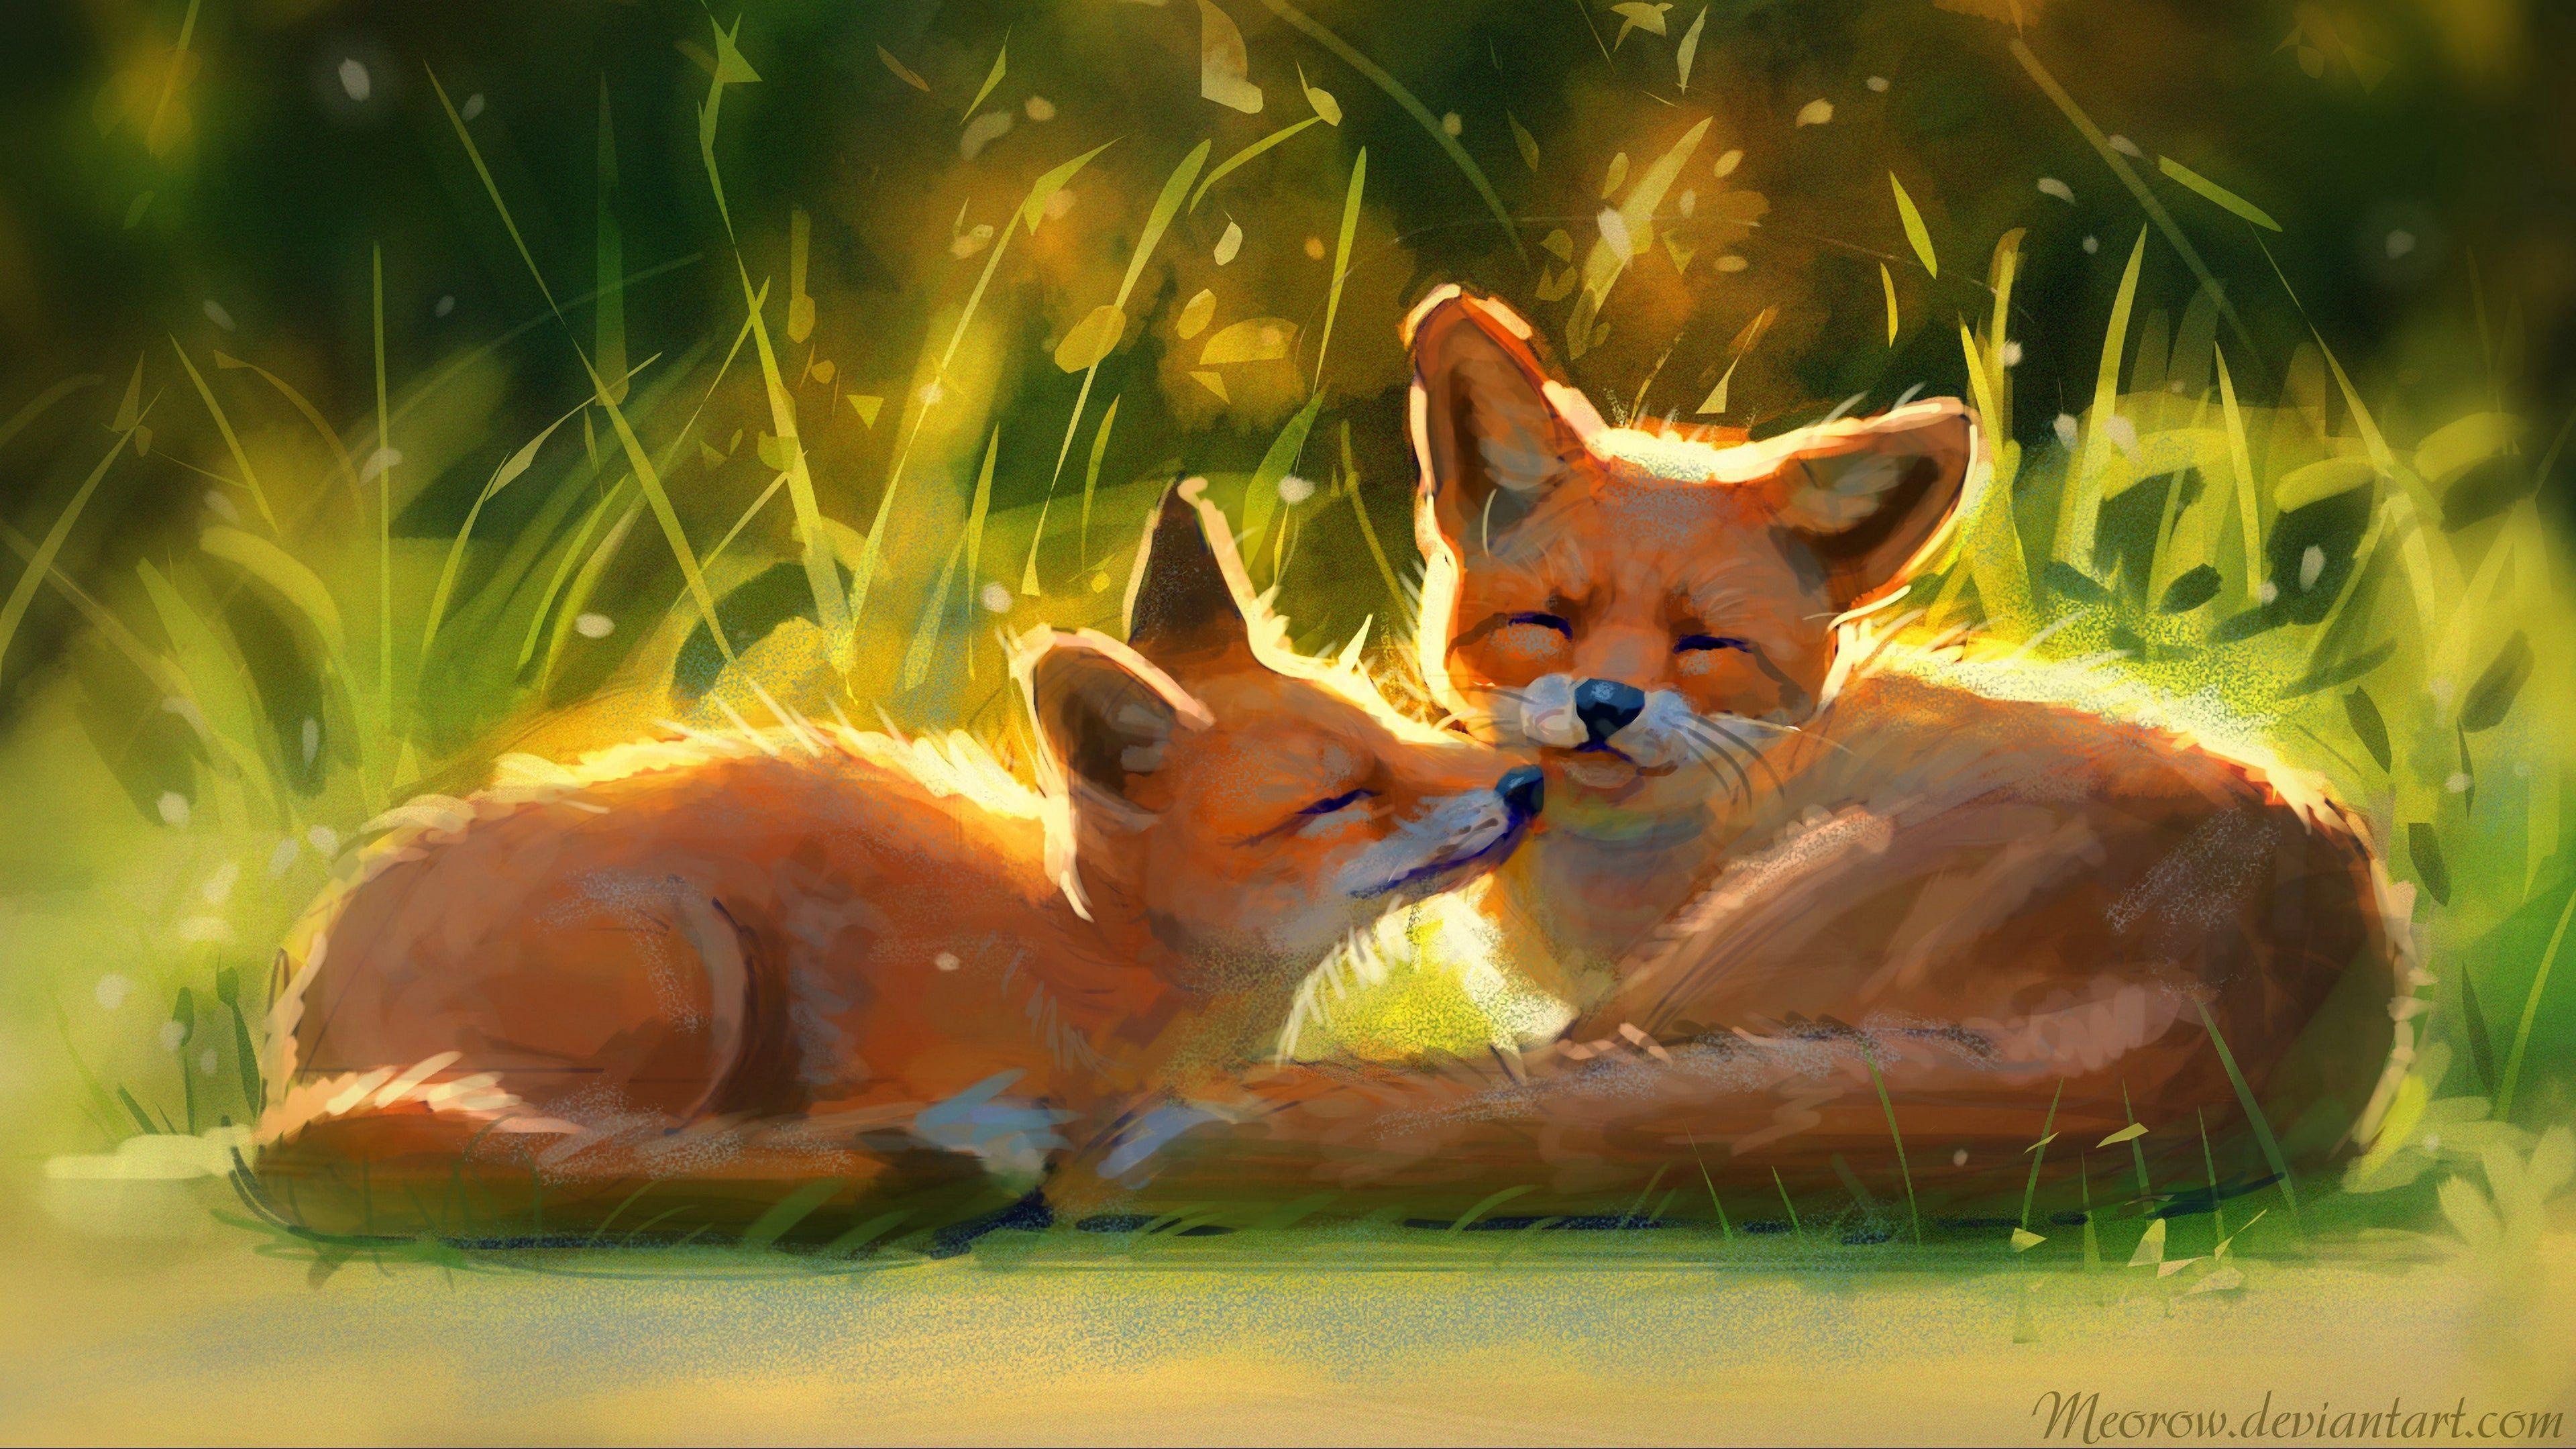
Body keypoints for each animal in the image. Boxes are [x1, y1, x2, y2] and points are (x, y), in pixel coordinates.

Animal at [252, 478, 1543, 1240]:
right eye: (1339, 798)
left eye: (1401, 733)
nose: (1527, 783)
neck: (1092, 961)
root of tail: (293, 1047)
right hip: (691, 965)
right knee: (624, 1154)